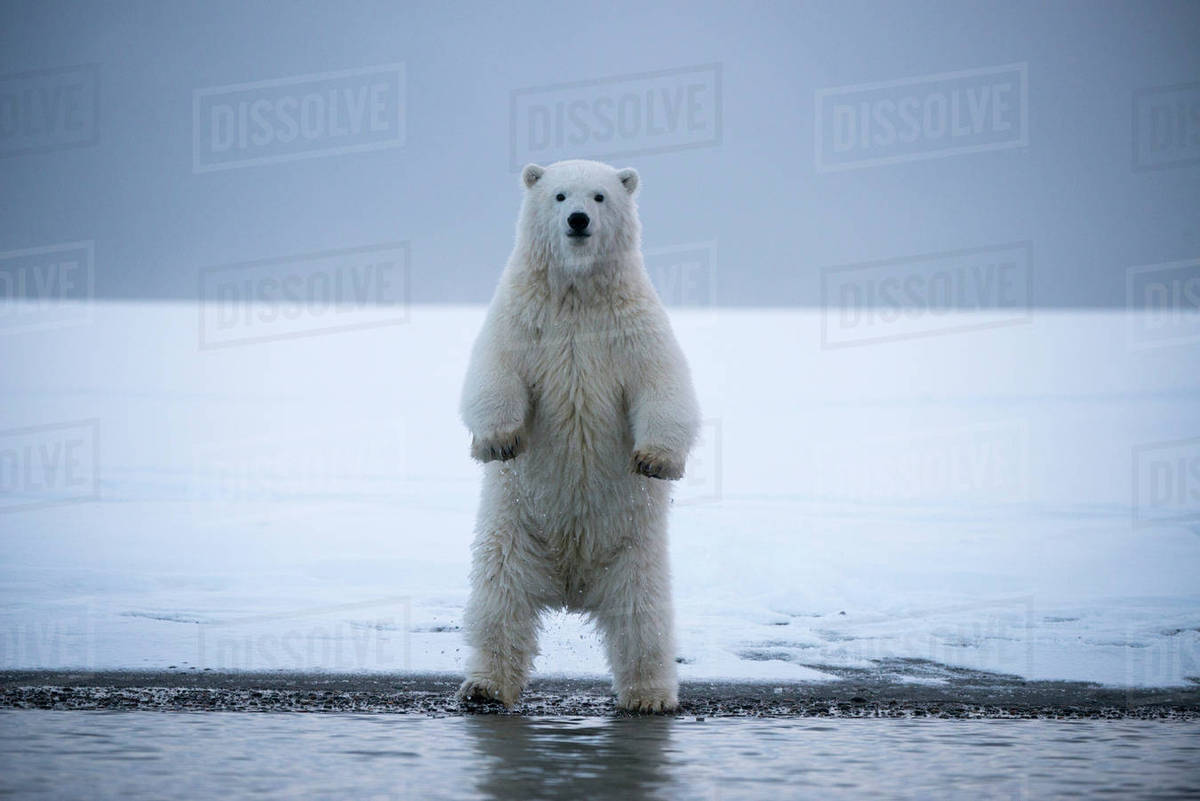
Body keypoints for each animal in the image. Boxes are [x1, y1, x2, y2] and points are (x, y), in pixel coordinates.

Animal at [456, 159, 701, 712]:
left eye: (601, 195)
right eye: (560, 195)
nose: (578, 220)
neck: (577, 292)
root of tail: (572, 589)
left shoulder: (634, 325)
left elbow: (663, 383)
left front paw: (657, 461)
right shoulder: (522, 317)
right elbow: (494, 370)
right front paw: (498, 442)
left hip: (634, 551)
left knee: (643, 619)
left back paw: (650, 694)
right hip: (514, 533)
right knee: (499, 604)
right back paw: (485, 686)